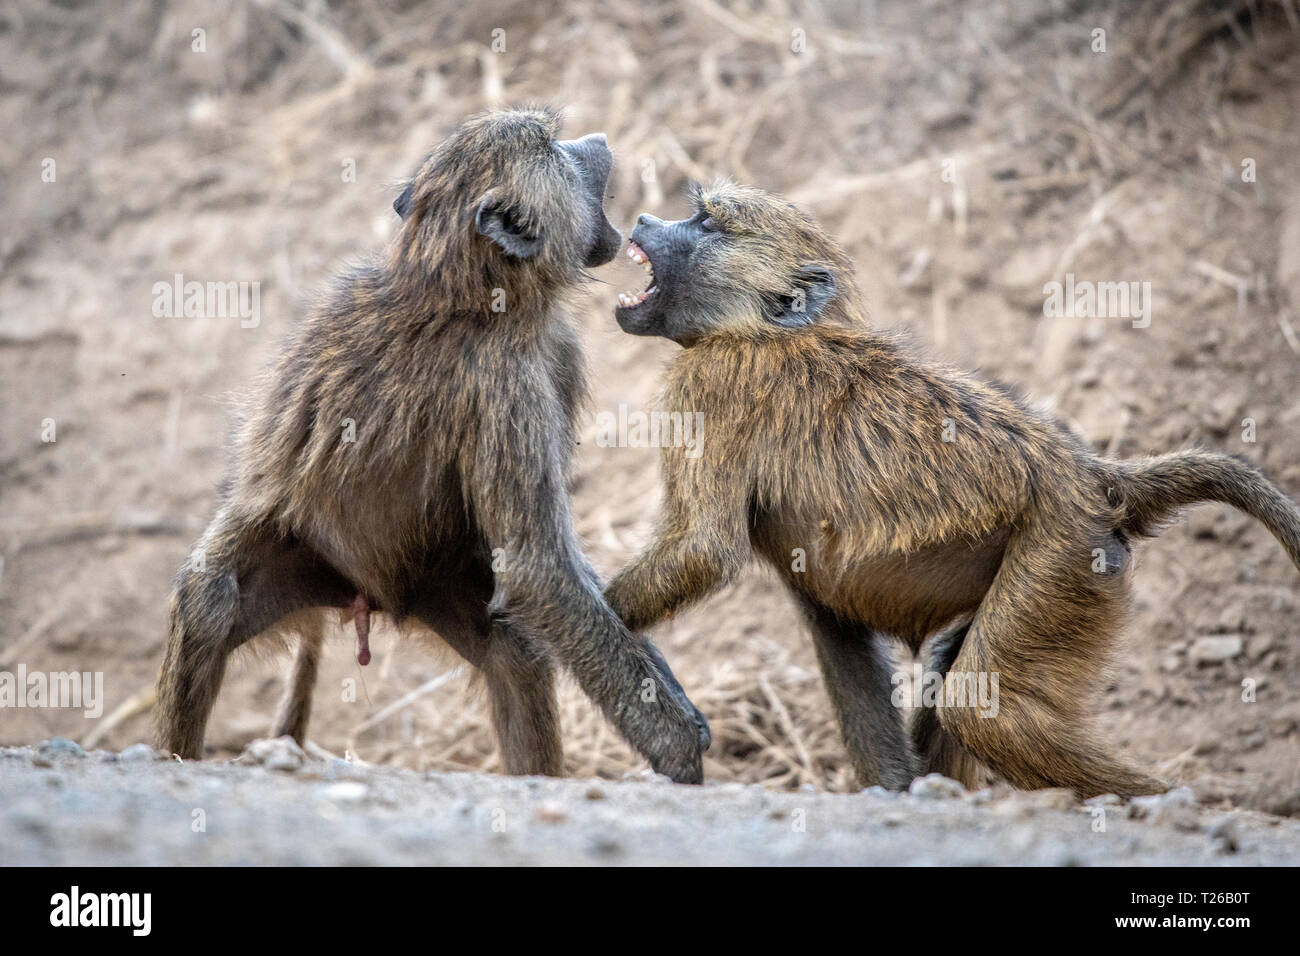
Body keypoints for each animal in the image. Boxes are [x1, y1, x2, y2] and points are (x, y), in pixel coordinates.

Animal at [155, 107, 711, 783]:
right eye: (553, 144)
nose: (598, 141)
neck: (469, 292)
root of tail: (368, 596)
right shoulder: (507, 387)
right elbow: (539, 566)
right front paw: (672, 741)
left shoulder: (555, 358)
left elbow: (547, 573)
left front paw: (669, 691)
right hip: (301, 547)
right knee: (206, 601)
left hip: (438, 579)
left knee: (513, 652)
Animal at [603, 179, 1300, 798]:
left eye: (707, 222)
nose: (643, 219)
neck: (768, 330)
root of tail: (1090, 475)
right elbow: (841, 640)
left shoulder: (706, 387)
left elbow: (703, 548)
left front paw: (585, 621)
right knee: (953, 674)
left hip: (1062, 555)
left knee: (984, 710)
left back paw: (1177, 802)